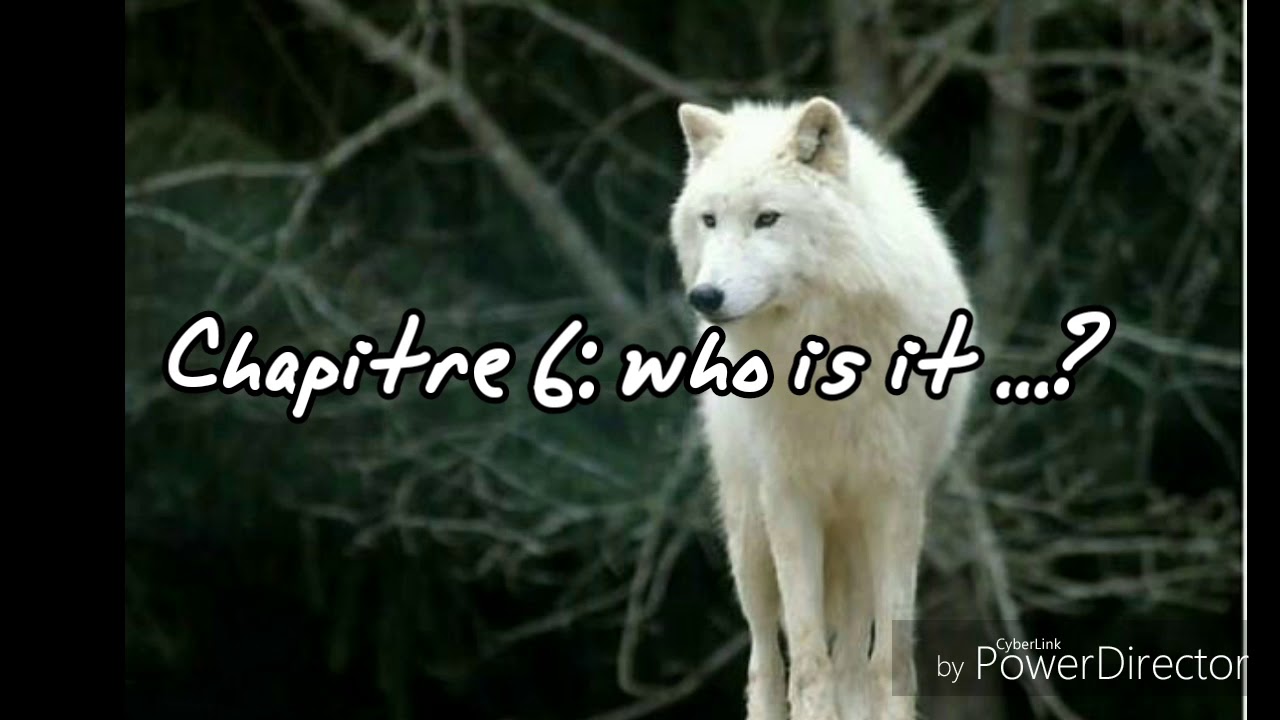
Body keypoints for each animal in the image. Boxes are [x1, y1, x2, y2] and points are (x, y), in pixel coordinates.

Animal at [669, 97, 976, 720]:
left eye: (767, 219)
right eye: (709, 220)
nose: (705, 297)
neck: (823, 359)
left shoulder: (894, 499)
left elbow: (890, 661)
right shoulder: (789, 499)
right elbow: (809, 661)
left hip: (852, 537)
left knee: (856, 655)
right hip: (749, 537)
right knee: (765, 661)